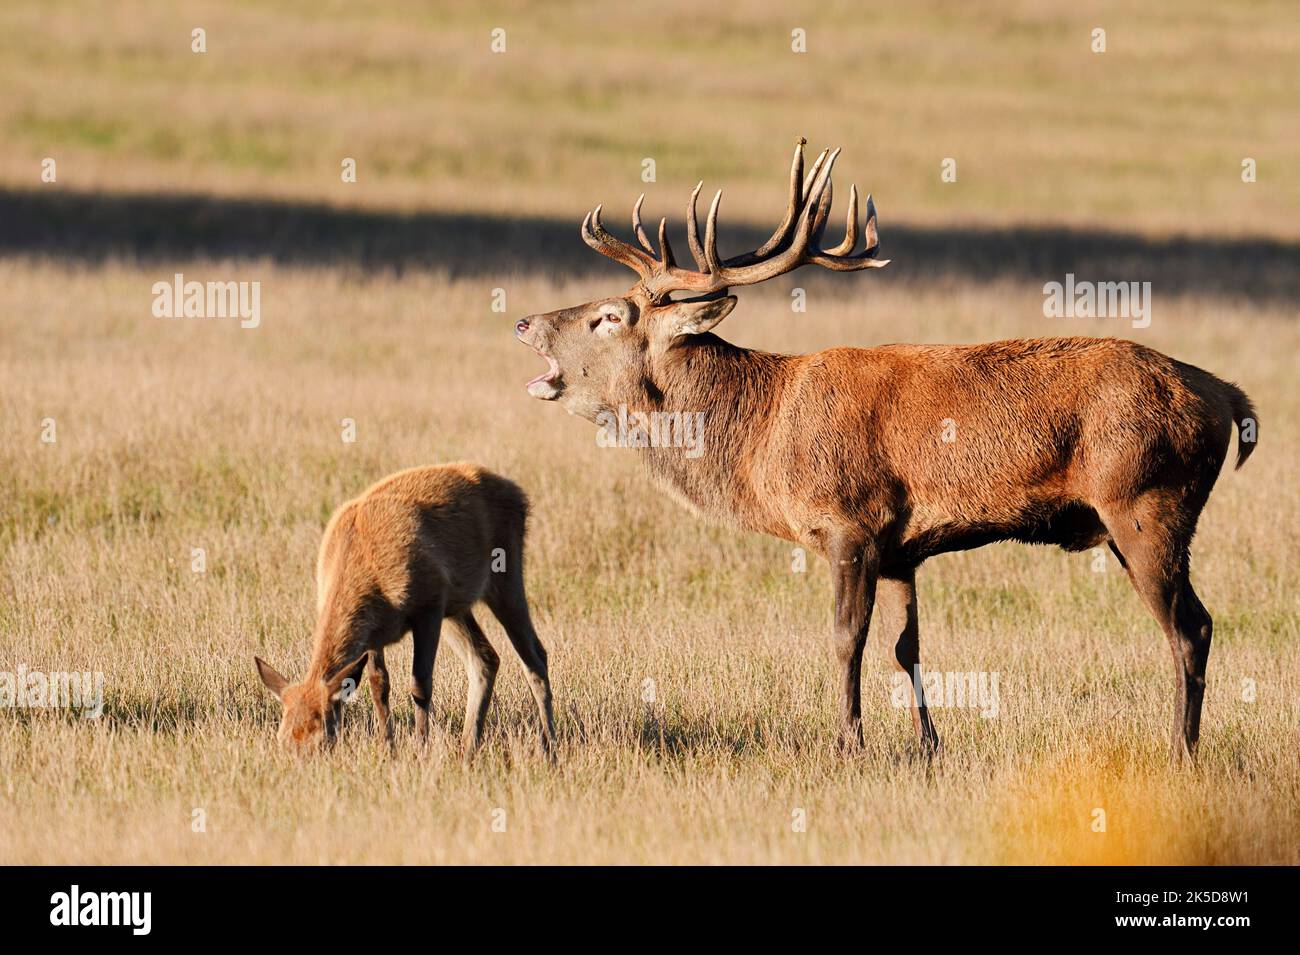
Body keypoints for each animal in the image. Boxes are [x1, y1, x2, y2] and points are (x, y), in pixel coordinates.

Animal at [254, 464, 556, 758]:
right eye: (281, 740)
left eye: (323, 737)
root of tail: (519, 495)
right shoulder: (375, 633)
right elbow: (379, 684)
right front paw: (388, 748)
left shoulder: (429, 608)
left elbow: (420, 683)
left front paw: (421, 749)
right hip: (456, 607)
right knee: (485, 658)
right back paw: (468, 747)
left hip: (505, 576)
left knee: (535, 656)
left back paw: (549, 747)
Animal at [515, 139, 1257, 765]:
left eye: (610, 316)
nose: (524, 320)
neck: (763, 435)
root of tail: (1228, 397)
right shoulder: (904, 547)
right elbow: (908, 646)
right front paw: (927, 746)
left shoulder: (853, 520)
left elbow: (848, 637)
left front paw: (849, 742)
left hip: (1146, 502)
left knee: (1191, 628)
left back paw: (1180, 751)